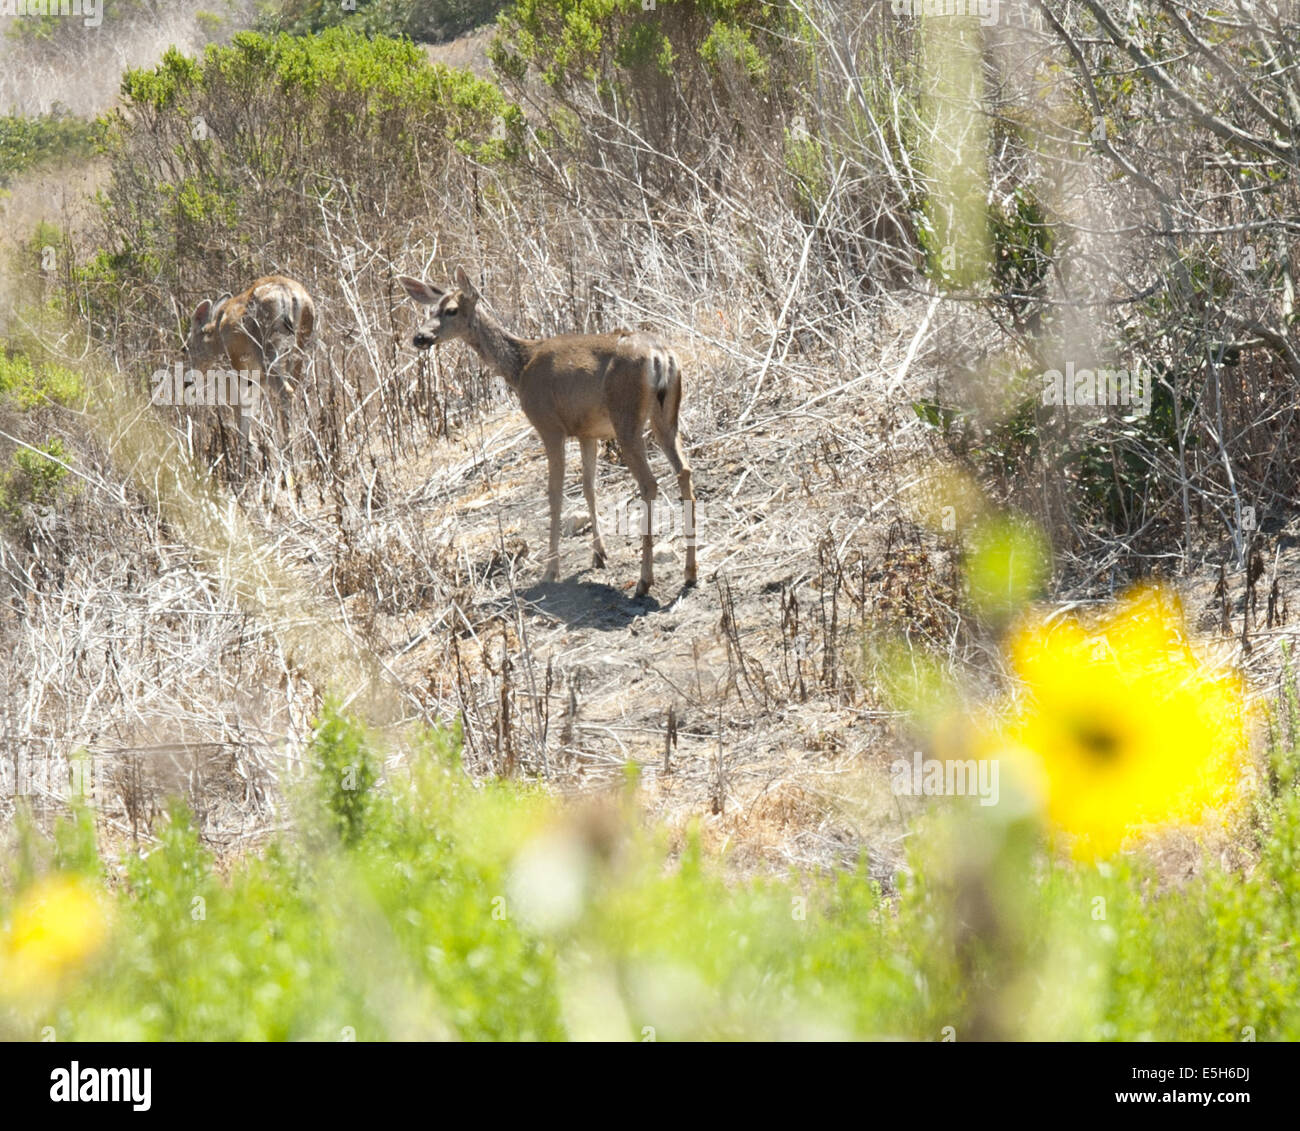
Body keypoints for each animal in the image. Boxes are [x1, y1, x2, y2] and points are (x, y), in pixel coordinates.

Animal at [183, 275, 315, 478]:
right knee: (296, 391)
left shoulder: (240, 372)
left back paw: (288, 458)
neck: (217, 337)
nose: (187, 381)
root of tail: (289, 294)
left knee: (286, 392)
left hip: (268, 349)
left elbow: (241, 419)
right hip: (300, 348)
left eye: (186, 348)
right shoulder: (256, 380)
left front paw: (242, 473)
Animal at [398, 267, 697, 597]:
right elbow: (589, 487)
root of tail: (661, 356)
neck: (520, 367)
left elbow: (554, 493)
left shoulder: (549, 425)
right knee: (684, 470)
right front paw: (599, 554)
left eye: (451, 310)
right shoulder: (587, 431)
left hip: (626, 417)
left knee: (649, 483)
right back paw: (690, 573)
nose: (419, 337)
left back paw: (644, 581)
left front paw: (551, 570)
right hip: (667, 415)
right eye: (430, 310)